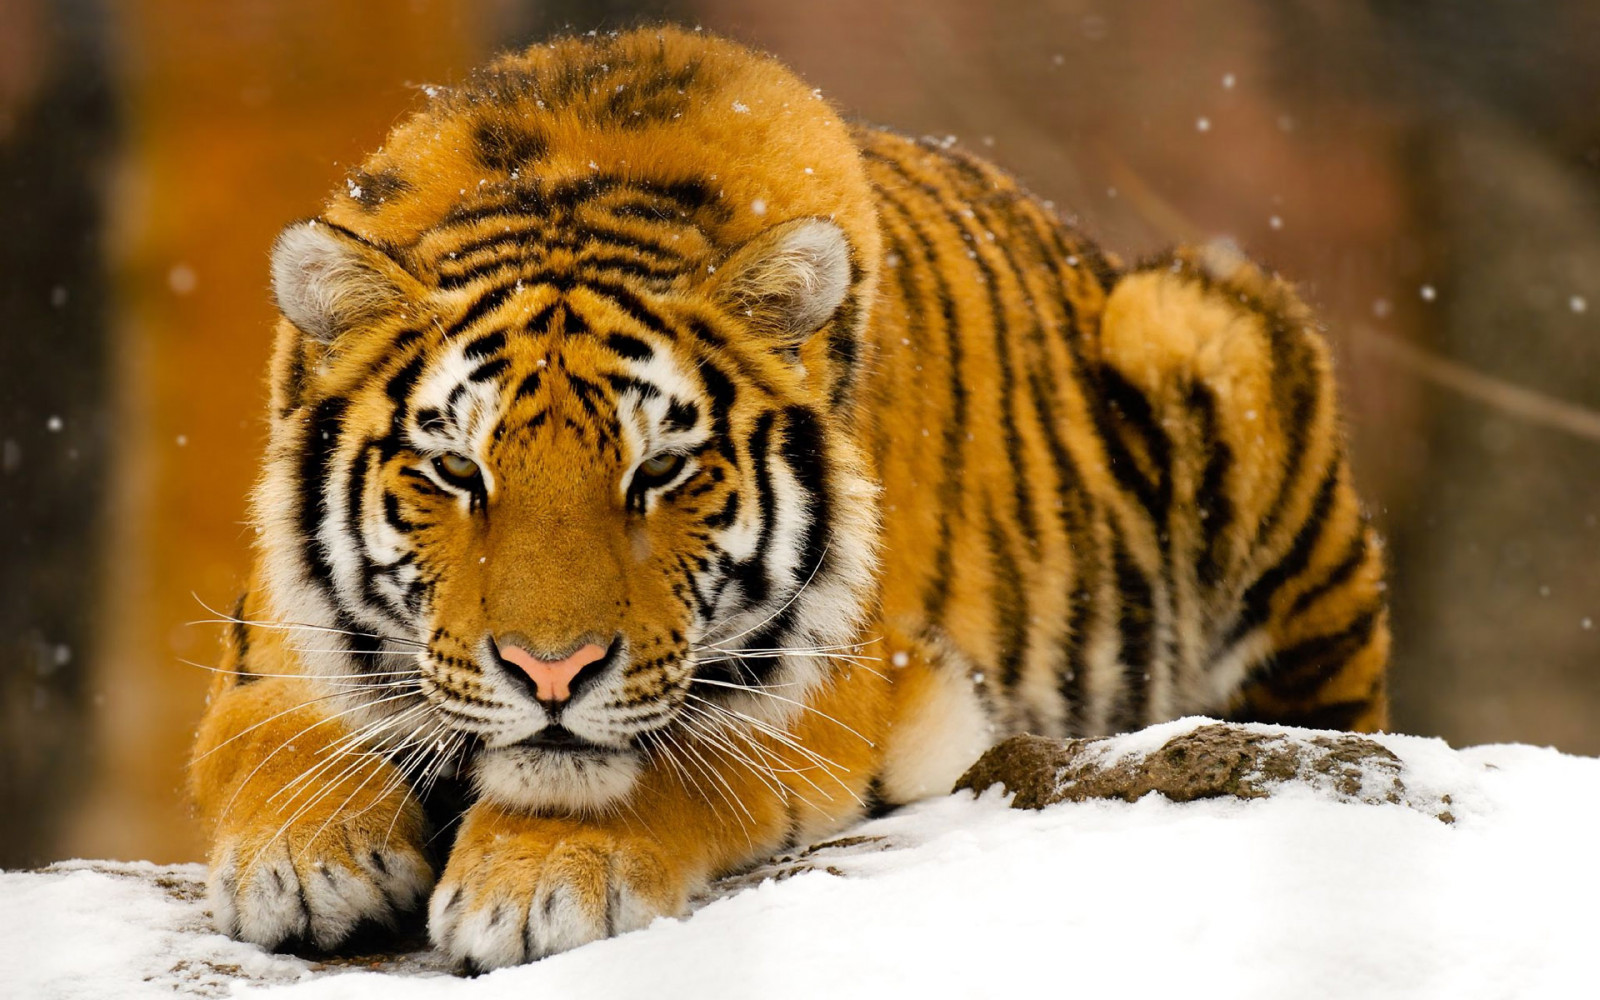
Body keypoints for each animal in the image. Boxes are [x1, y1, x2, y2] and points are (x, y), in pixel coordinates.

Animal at [188, 25, 1388, 971]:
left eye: (659, 471)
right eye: (457, 471)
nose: (551, 673)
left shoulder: (834, 683)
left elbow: (665, 759)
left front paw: (535, 881)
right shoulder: (274, 642)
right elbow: (273, 738)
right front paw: (301, 860)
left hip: (1203, 331)